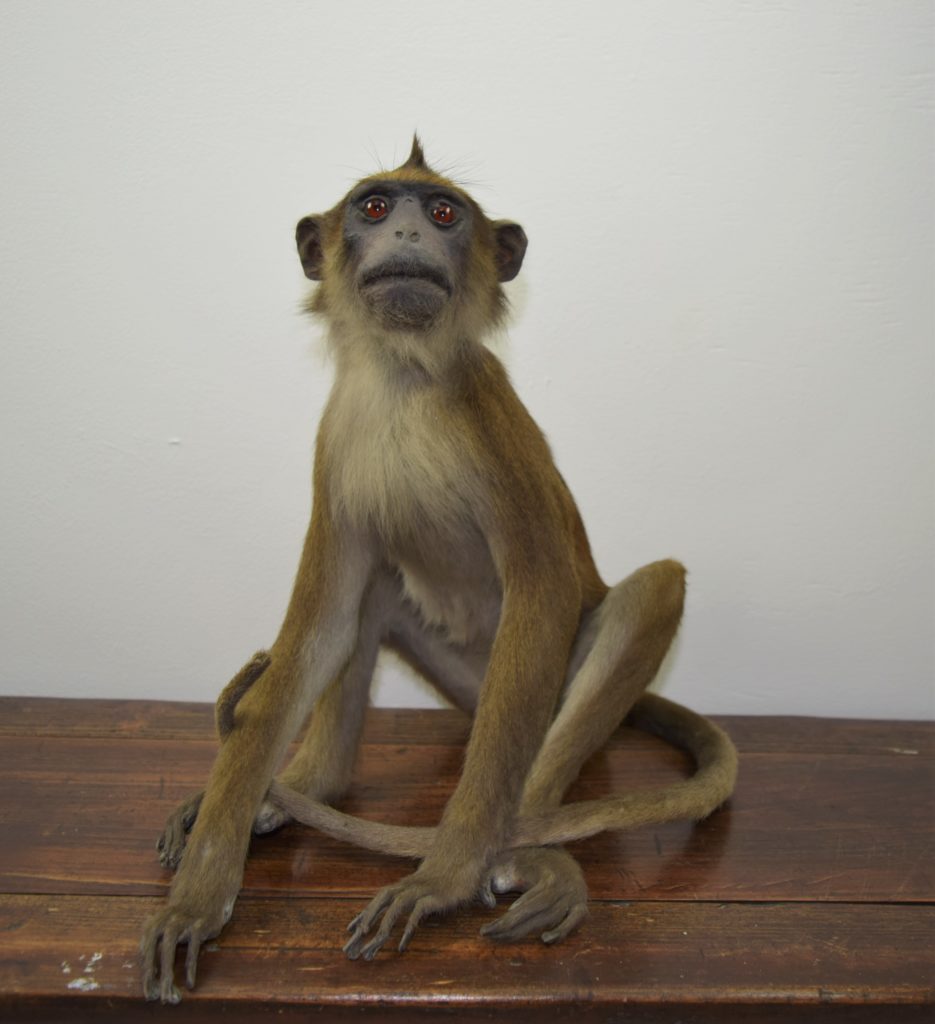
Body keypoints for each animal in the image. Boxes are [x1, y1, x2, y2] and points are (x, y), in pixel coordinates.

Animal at [141, 138, 738, 1003]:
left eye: (444, 213)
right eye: (375, 208)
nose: (409, 236)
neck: (401, 376)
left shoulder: (486, 419)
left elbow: (543, 593)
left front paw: (445, 875)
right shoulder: (334, 447)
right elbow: (321, 629)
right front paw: (199, 895)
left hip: (530, 685)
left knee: (645, 593)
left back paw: (524, 851)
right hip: (458, 676)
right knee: (372, 598)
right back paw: (311, 786)